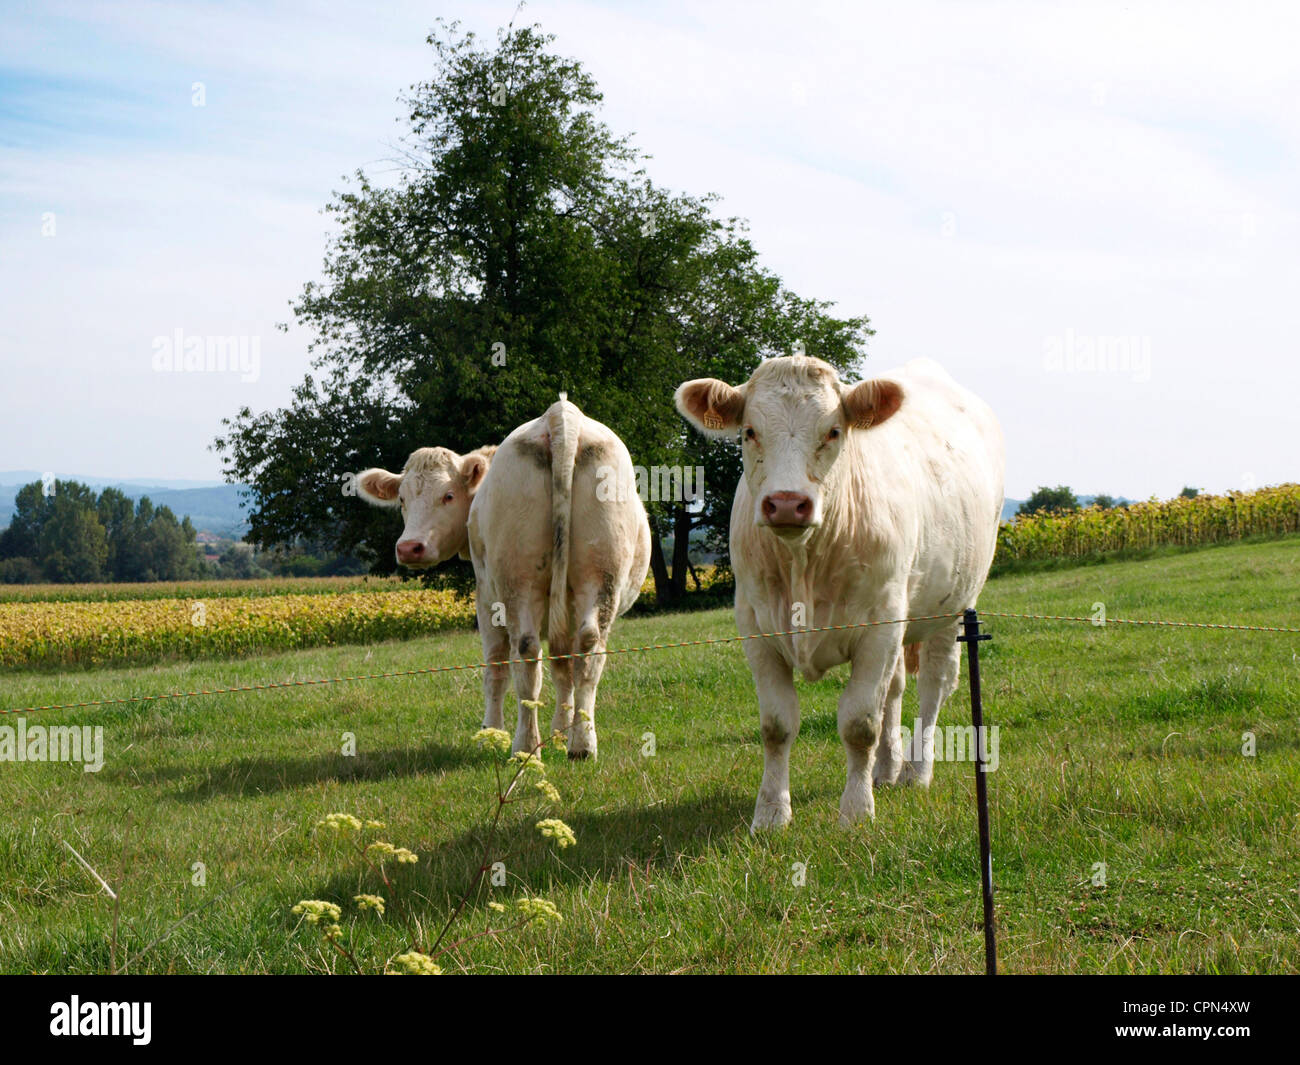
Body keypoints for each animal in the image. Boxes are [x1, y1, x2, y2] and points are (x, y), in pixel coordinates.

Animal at [355, 395, 651, 759]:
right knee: (586, 651)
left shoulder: (485, 597)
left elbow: (496, 666)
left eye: (448, 495)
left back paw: (524, 745)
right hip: (600, 579)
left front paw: (492, 732)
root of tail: (562, 415)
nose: (410, 547)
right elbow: (563, 669)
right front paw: (559, 733)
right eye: (402, 499)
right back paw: (580, 744)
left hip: (516, 584)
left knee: (524, 657)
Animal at [674, 356, 1004, 831]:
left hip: (953, 604)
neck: (803, 564)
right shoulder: (755, 626)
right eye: (749, 431)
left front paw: (856, 811)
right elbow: (776, 725)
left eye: (833, 431)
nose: (787, 503)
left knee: (935, 683)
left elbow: (859, 722)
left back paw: (915, 772)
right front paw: (771, 813)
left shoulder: (881, 623)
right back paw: (886, 768)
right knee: (895, 689)